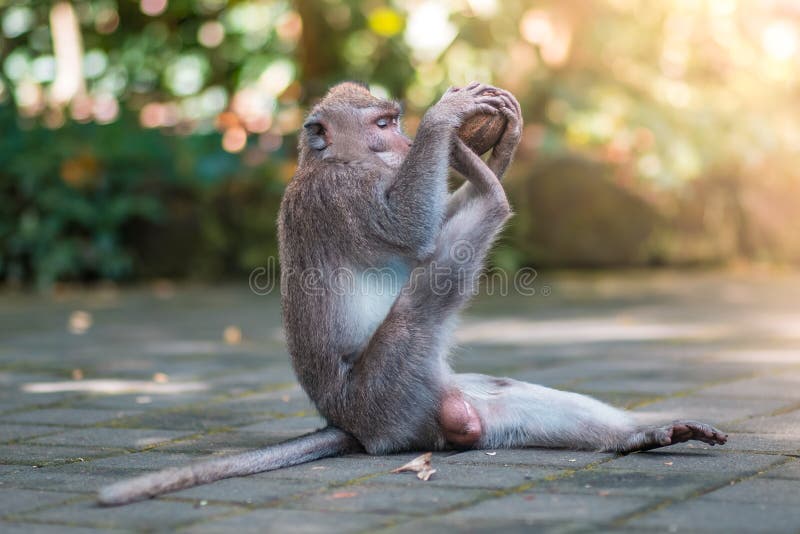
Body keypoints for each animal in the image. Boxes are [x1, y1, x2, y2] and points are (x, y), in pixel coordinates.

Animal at [97, 82, 726, 506]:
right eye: (383, 123)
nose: (405, 140)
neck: (332, 159)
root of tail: (351, 425)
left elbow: (423, 234)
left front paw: (495, 147)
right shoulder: (344, 192)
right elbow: (410, 231)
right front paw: (447, 126)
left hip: (441, 399)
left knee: (504, 395)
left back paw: (645, 435)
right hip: (390, 388)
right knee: (428, 297)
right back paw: (491, 189)